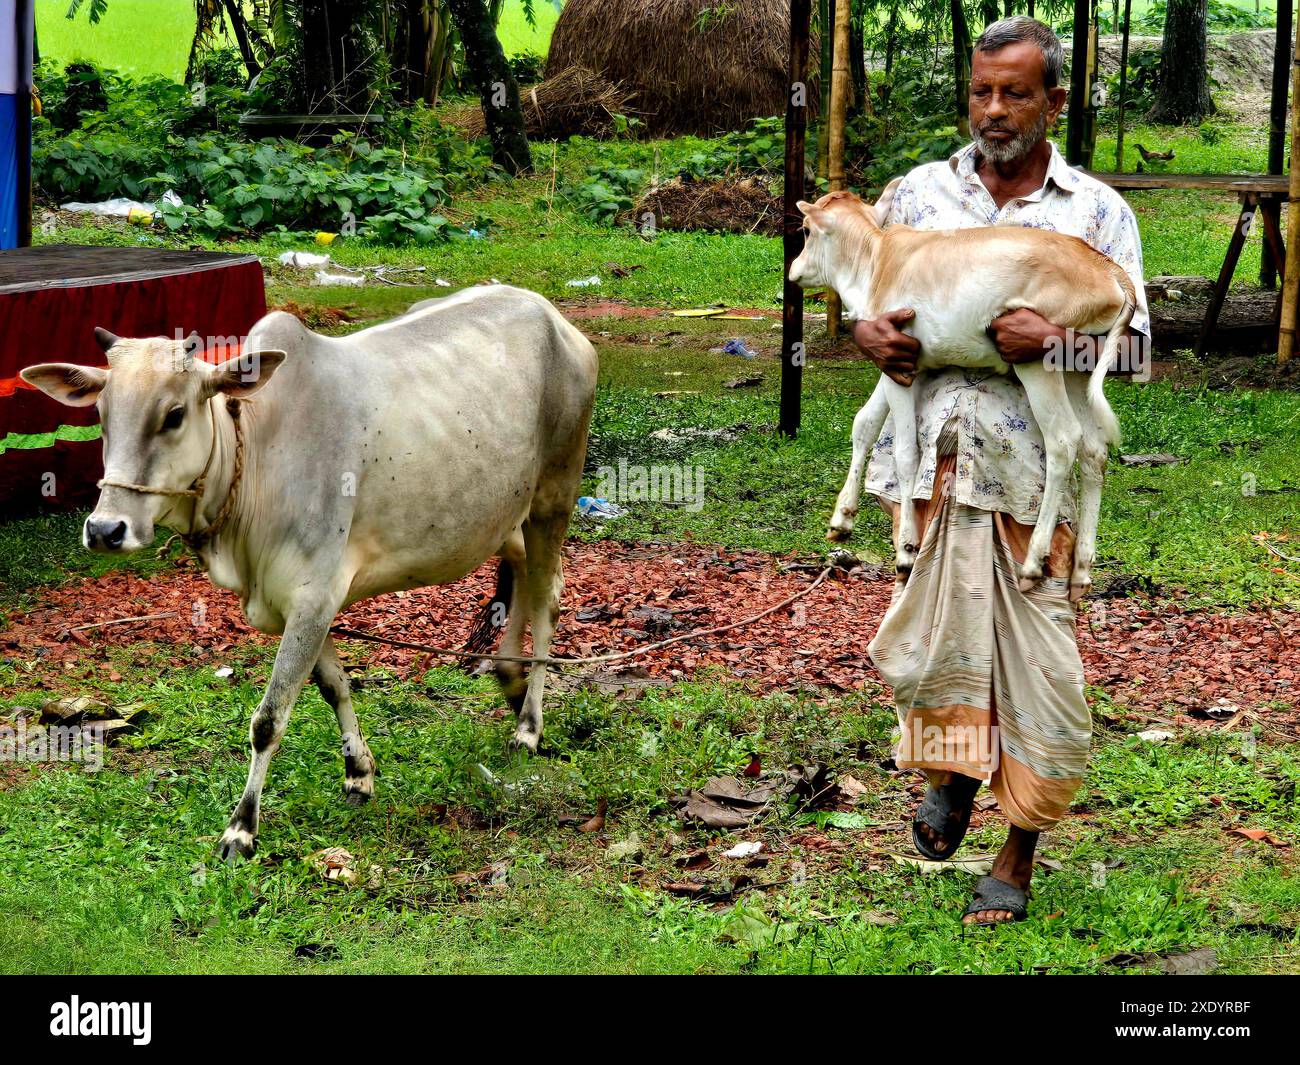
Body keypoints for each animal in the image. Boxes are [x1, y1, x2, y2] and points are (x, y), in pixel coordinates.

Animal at [21, 284, 598, 861]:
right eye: (102, 415)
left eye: (174, 414)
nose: (105, 529)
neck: (256, 451)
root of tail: (551, 316)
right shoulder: (293, 606)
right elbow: (333, 687)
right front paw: (359, 772)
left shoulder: (314, 596)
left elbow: (269, 719)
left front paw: (242, 828)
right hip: (507, 515)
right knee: (523, 575)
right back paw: (510, 680)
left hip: (554, 497)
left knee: (547, 597)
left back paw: (529, 725)